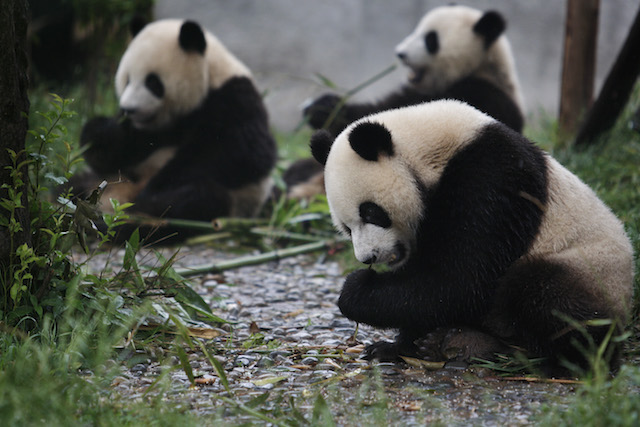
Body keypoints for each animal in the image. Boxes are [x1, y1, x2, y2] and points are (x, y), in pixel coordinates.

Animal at [71, 19, 277, 240]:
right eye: (127, 80)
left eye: (152, 82)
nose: (129, 109)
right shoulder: (146, 133)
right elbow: (113, 151)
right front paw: (104, 133)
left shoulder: (235, 99)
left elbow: (244, 153)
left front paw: (156, 187)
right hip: (104, 180)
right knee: (71, 185)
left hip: (233, 203)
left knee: (195, 199)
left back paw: (128, 219)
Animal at [304, 4, 524, 137]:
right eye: (416, 30)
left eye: (430, 39)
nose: (400, 53)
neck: (481, 67)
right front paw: (321, 108)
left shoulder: (481, 94)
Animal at [310, 100, 634, 375]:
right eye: (346, 227)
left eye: (371, 212)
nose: (368, 257)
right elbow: (428, 288)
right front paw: (393, 347)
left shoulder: (493, 178)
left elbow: (460, 279)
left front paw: (355, 289)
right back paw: (459, 342)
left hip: (588, 268)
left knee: (549, 296)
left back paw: (563, 360)